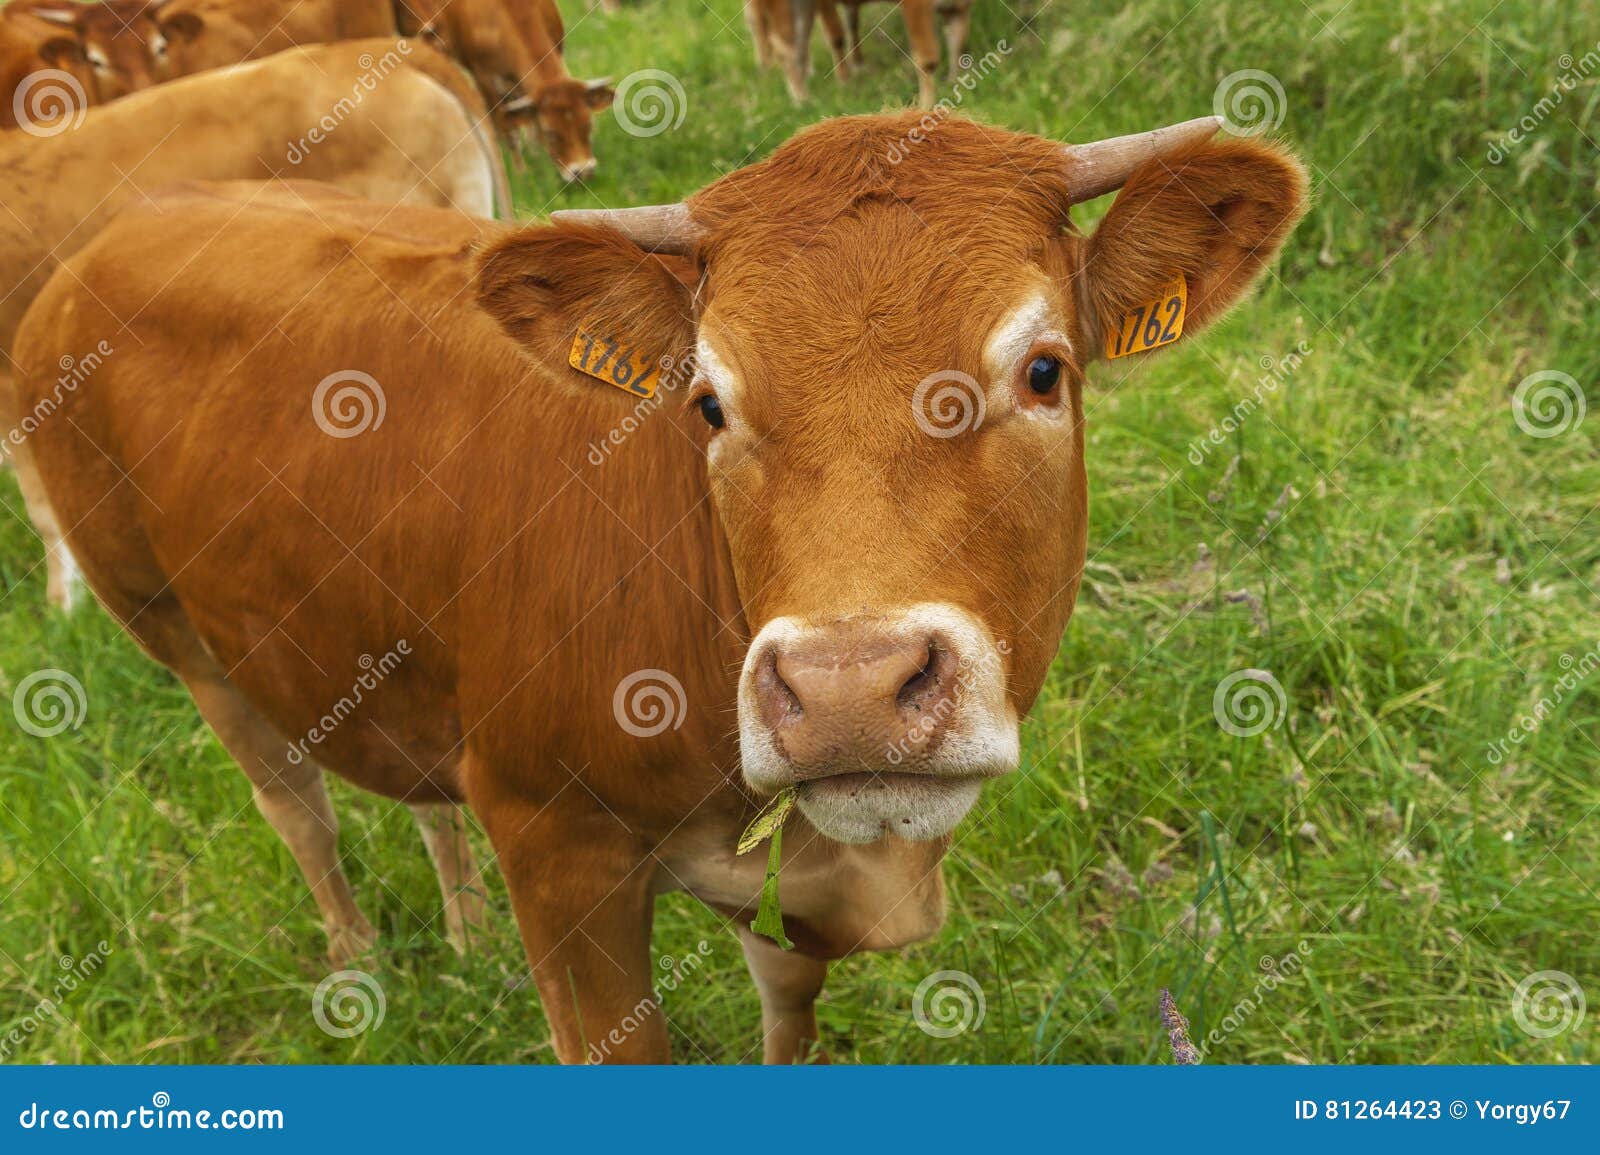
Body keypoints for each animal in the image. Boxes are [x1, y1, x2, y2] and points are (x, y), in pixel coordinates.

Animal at [13, 111, 1306, 1062]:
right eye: (709, 403)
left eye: (1043, 371)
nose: (847, 690)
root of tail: (124, 229)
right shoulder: (554, 842)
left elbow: (786, 1011)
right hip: (174, 631)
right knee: (294, 801)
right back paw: (359, 964)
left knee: (414, 786)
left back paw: (462, 933)